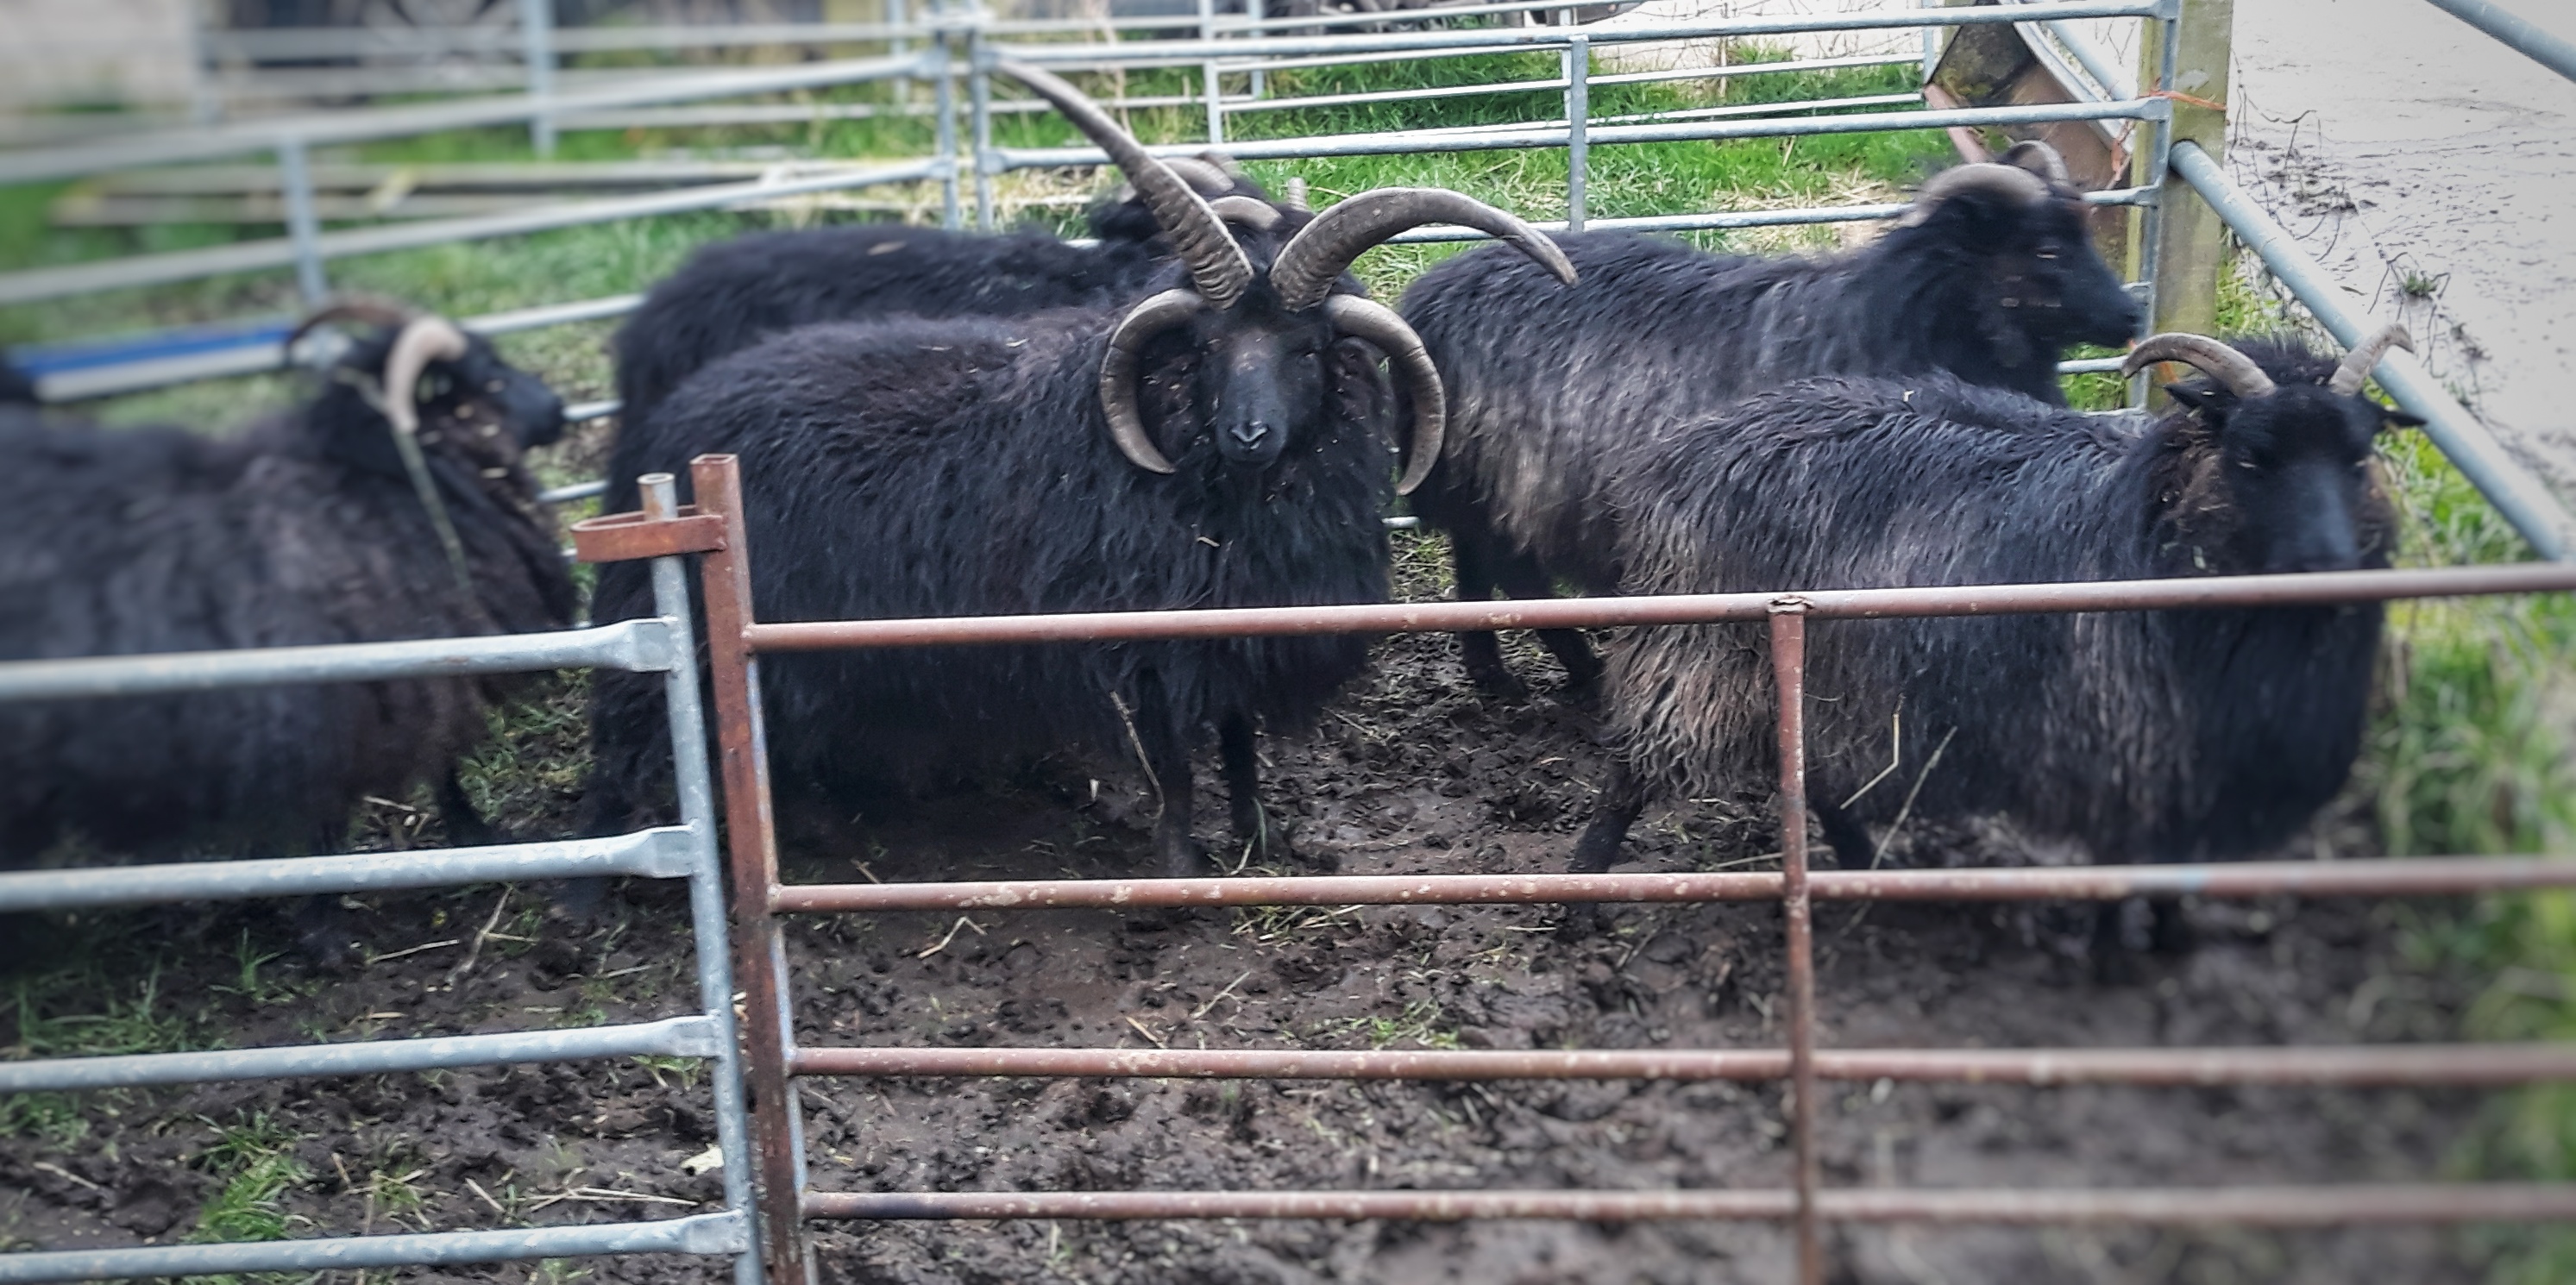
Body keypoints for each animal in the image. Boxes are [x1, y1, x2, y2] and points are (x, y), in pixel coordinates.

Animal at [0, 301, 576, 958]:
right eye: (492, 378)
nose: (561, 411)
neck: (383, 483)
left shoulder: (414, 672)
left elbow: (439, 764)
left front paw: (474, 835)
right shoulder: (342, 692)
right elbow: (349, 804)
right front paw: (327, 928)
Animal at [1397, 142, 2146, 695]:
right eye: (2045, 250)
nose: (2133, 316)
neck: (1915, 321)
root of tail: (1426, 298)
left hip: (1474, 476)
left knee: (1474, 561)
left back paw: (1491, 673)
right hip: (1508, 480)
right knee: (1512, 569)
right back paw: (1577, 670)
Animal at [1566, 326, 2419, 971]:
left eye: (2358, 457)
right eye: (2250, 455)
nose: (2332, 568)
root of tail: (1682, 448)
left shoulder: (2196, 769)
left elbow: (2175, 871)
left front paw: (2174, 946)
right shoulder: (2118, 751)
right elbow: (2118, 872)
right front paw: (2111, 964)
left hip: (1818, 676)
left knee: (1821, 778)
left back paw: (1866, 870)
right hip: (1696, 654)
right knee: (1632, 774)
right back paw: (1579, 893)